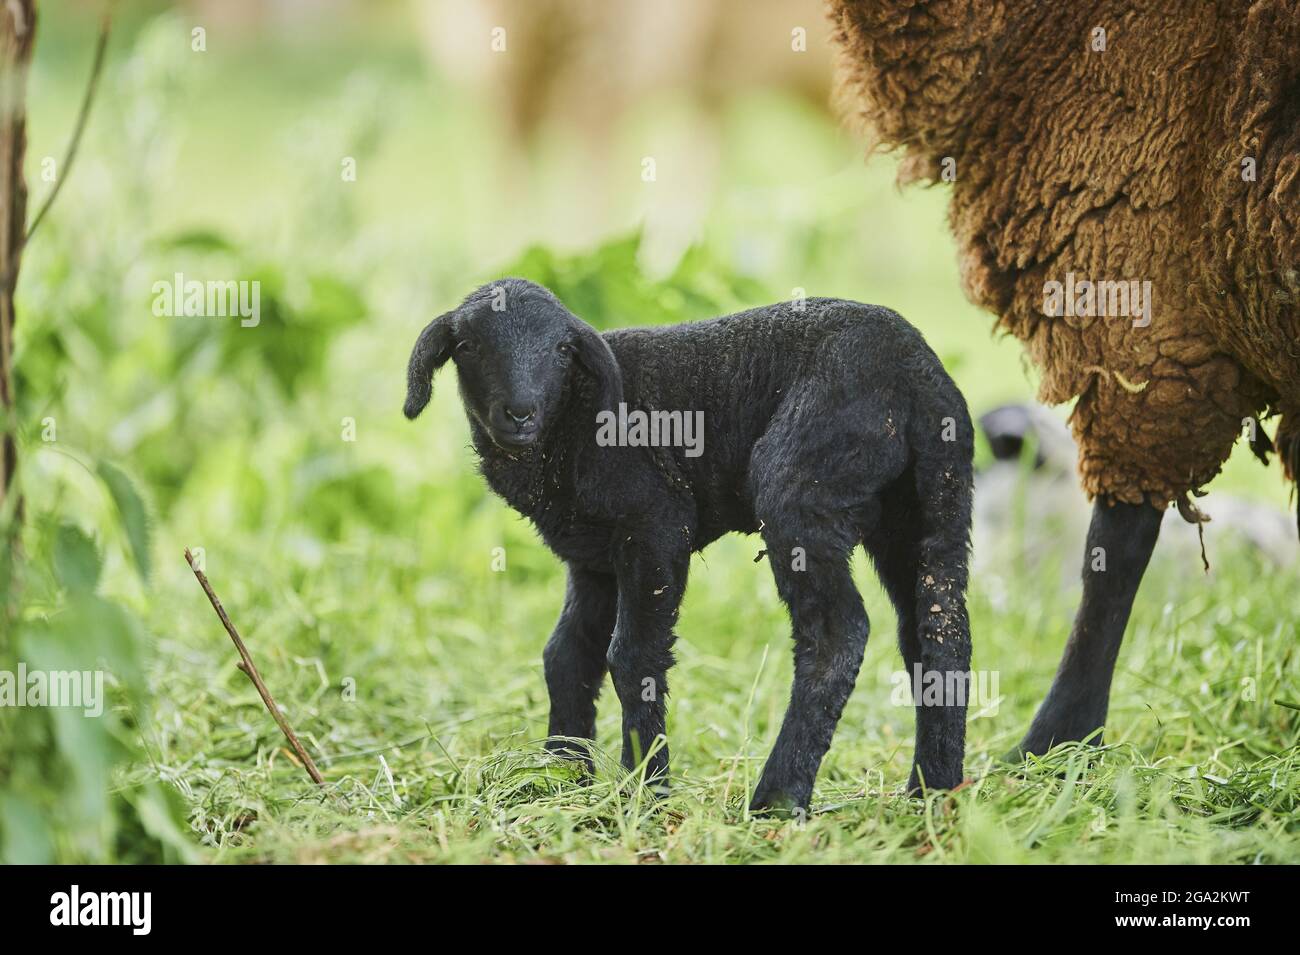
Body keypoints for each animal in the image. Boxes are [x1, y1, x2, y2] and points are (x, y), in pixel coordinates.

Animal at [403, 278, 975, 809]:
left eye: (562, 350)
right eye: (469, 346)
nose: (520, 413)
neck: (573, 421)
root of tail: (910, 372)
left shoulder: (655, 522)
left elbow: (631, 656)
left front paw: (644, 789)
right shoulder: (593, 558)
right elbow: (567, 654)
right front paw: (559, 776)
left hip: (802, 485)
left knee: (839, 632)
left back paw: (777, 798)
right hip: (930, 503)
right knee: (939, 631)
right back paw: (932, 790)